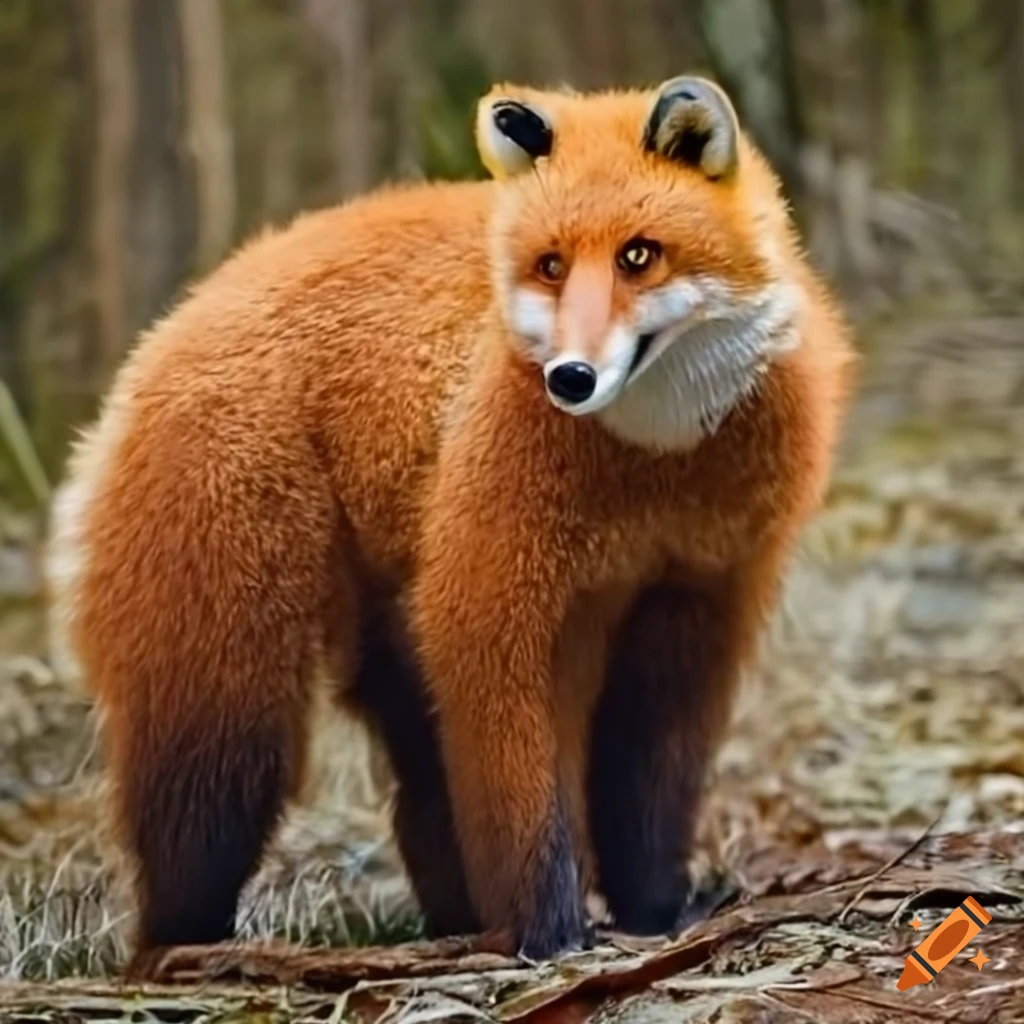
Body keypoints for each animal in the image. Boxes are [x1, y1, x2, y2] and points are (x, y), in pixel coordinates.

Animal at [46, 74, 855, 972]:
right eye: (550, 266)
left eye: (639, 255)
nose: (571, 378)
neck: (655, 468)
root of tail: (164, 333)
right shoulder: (493, 606)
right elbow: (525, 807)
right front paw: (548, 937)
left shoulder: (692, 603)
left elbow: (648, 793)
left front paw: (653, 915)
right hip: (231, 700)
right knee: (190, 842)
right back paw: (180, 959)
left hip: (384, 658)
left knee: (421, 810)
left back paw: (451, 922)